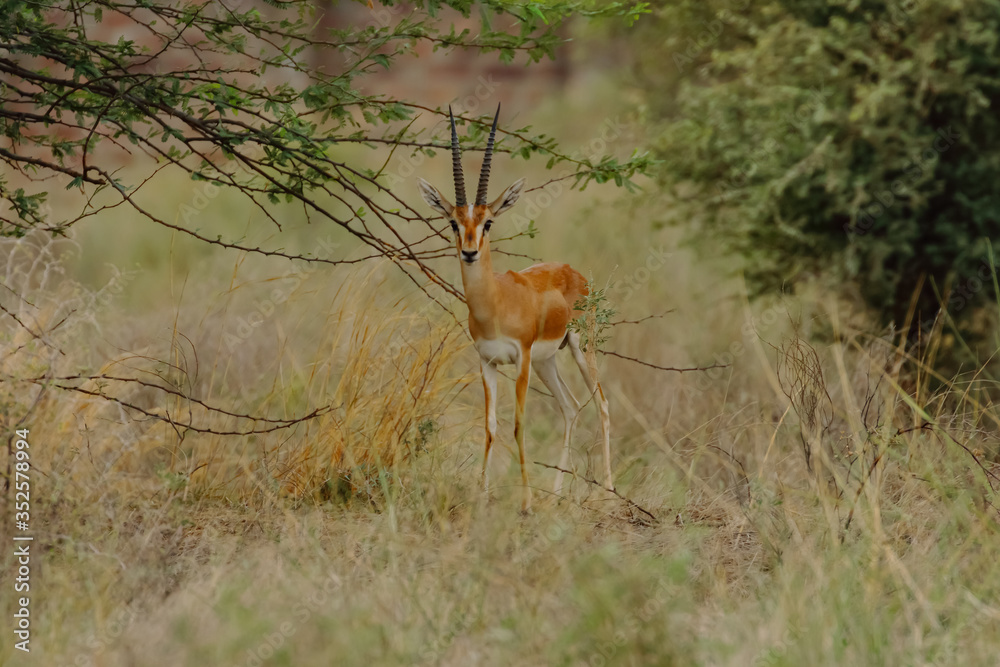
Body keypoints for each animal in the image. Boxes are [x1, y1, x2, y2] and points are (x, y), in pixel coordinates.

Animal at [418, 105, 612, 512]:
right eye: (453, 222)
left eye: (488, 222)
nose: (469, 252)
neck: (494, 306)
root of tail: (571, 270)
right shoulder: (487, 362)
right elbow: (490, 426)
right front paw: (482, 496)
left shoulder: (519, 360)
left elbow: (519, 425)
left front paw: (524, 503)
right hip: (547, 361)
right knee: (571, 407)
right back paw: (556, 492)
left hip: (579, 349)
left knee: (602, 405)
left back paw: (607, 492)